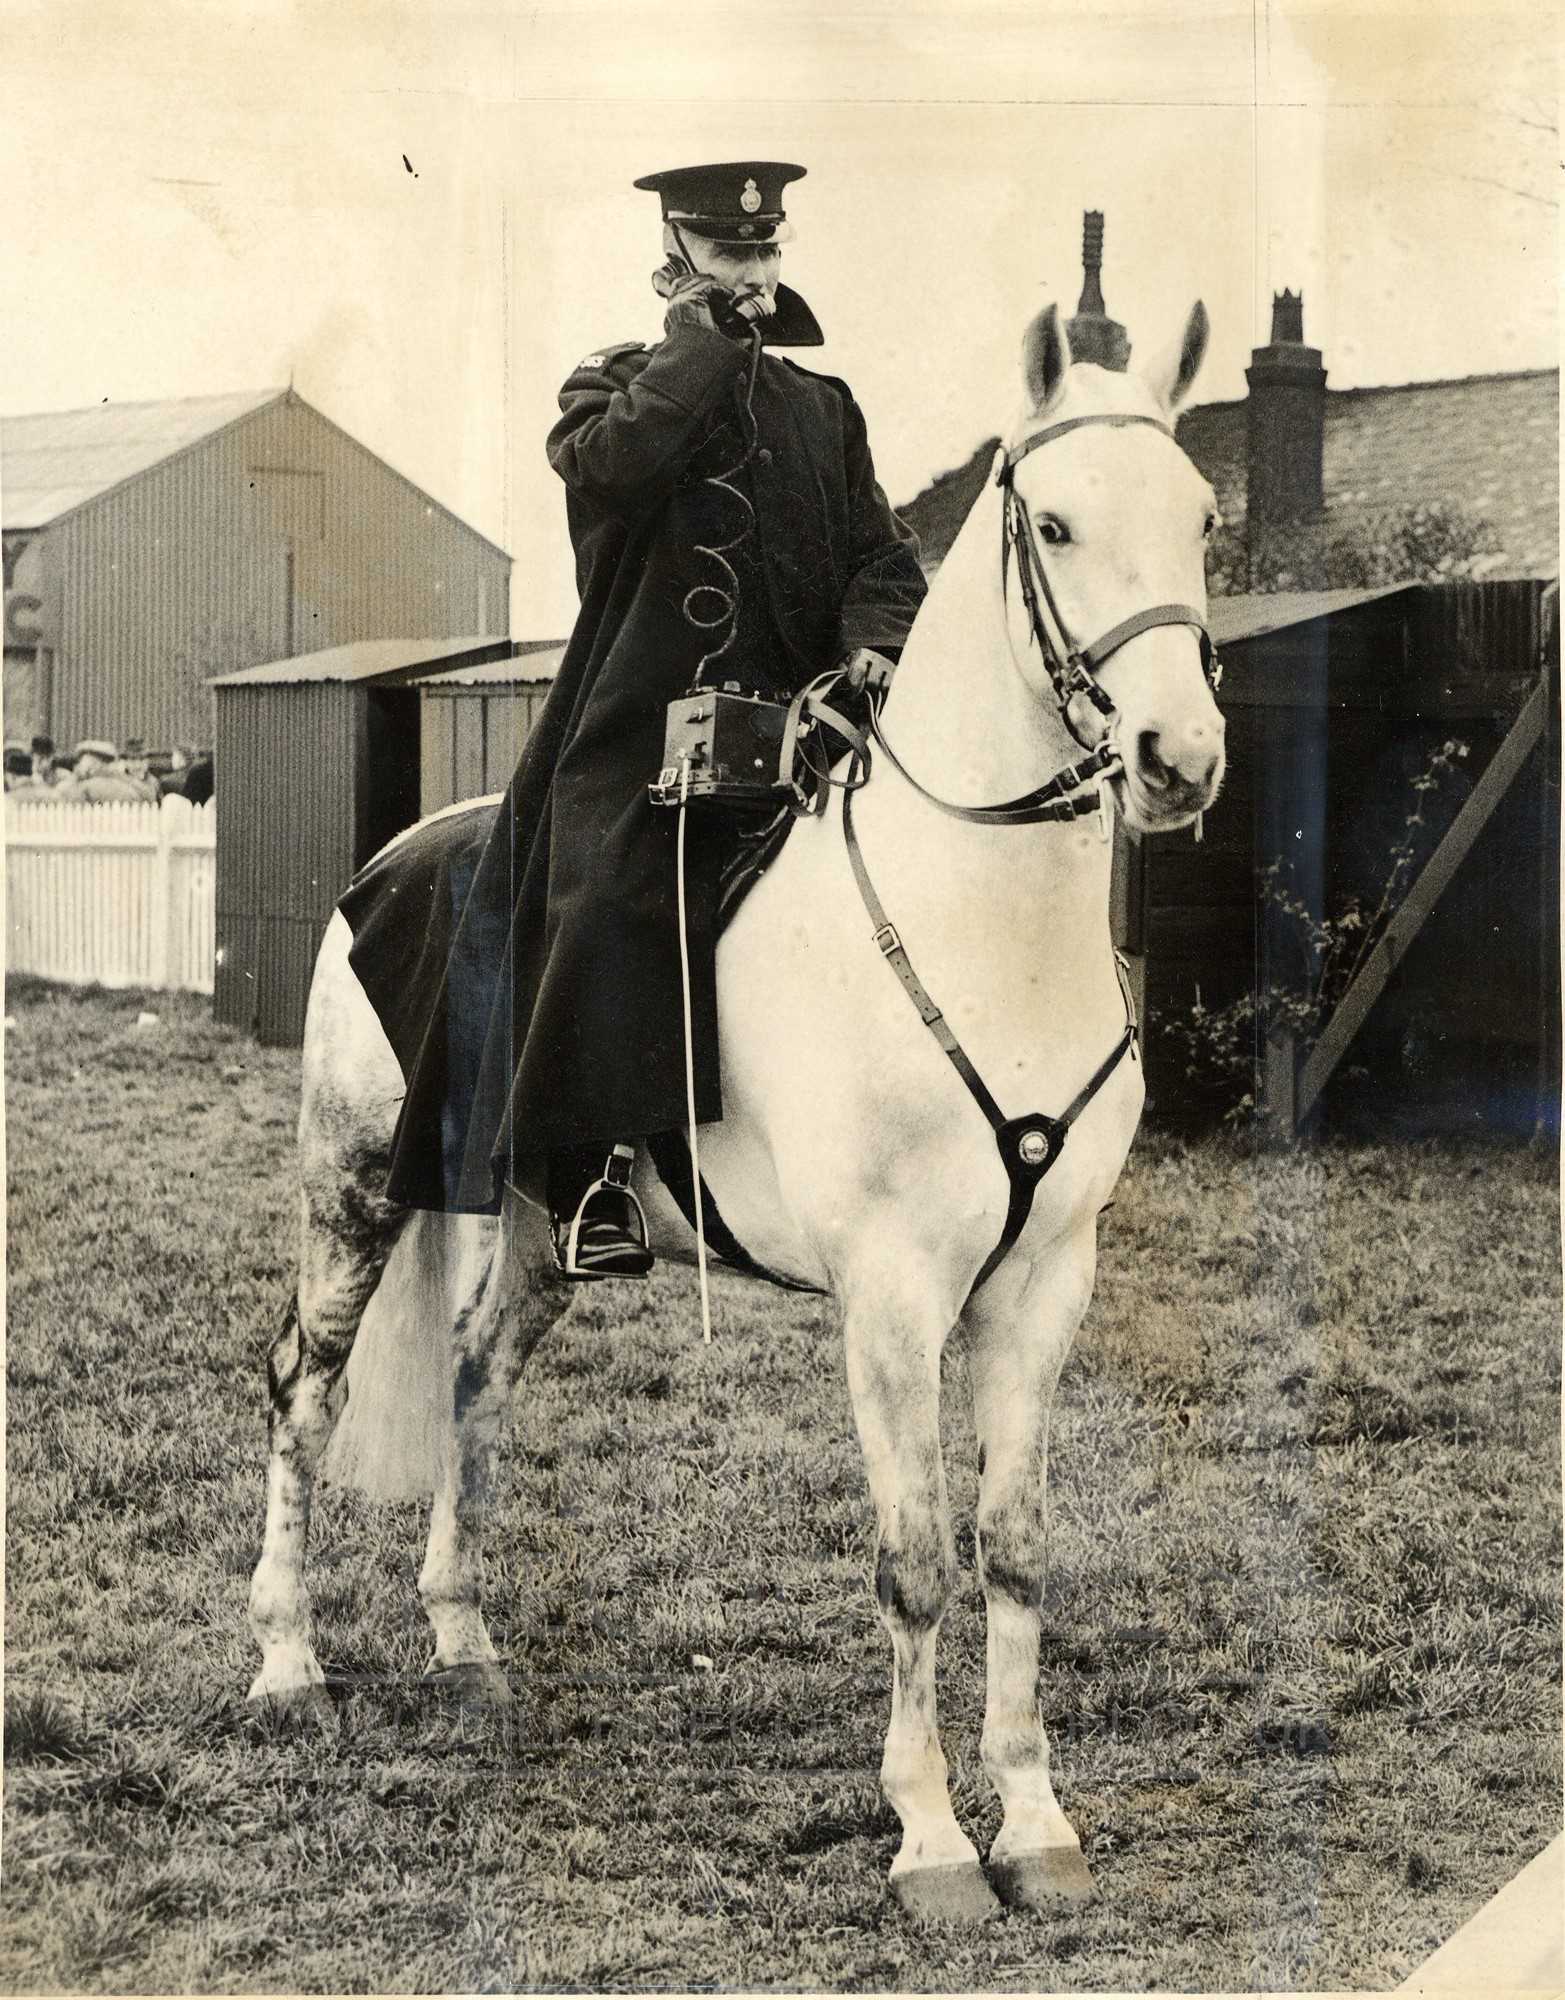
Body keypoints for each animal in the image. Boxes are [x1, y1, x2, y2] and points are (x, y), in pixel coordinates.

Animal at [246, 297, 1225, 1926]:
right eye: (1058, 524)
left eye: (1203, 519)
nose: (1178, 760)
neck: (980, 926)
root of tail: (392, 858)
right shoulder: (890, 1295)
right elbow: (913, 1559)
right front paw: (933, 1842)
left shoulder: (1043, 1280)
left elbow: (1015, 1546)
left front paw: (1035, 1823)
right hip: (355, 1188)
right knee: (301, 1390)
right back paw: (284, 1663)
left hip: (541, 1227)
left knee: (469, 1377)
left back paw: (462, 1642)